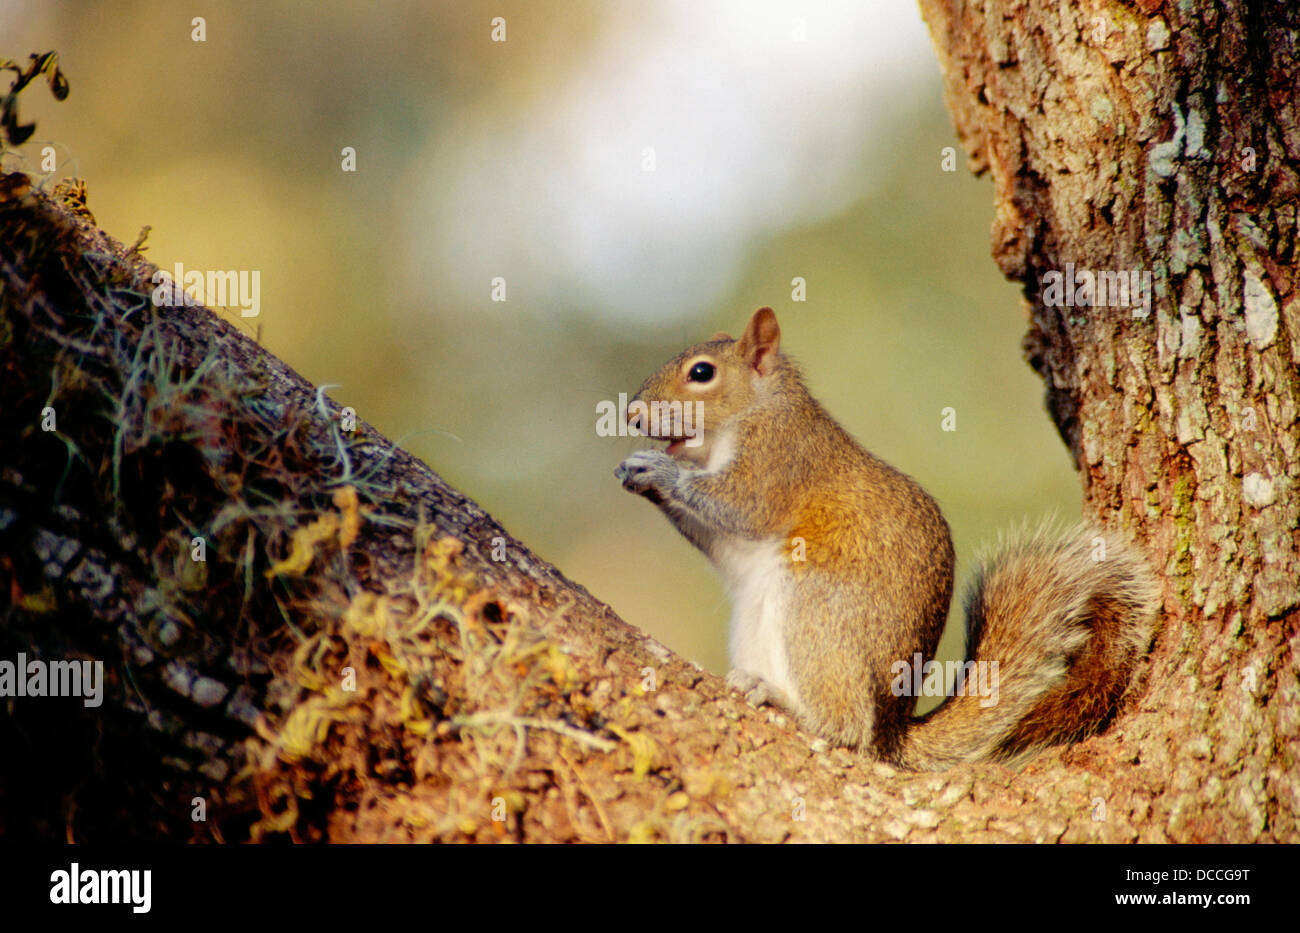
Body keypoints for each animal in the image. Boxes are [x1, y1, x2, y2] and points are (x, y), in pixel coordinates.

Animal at [614, 307, 1159, 770]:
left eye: (702, 373)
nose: (633, 415)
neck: (756, 408)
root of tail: (890, 732)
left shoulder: (779, 459)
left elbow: (741, 507)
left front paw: (659, 470)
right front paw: (636, 475)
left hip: (817, 613)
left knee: (848, 728)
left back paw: (785, 701)